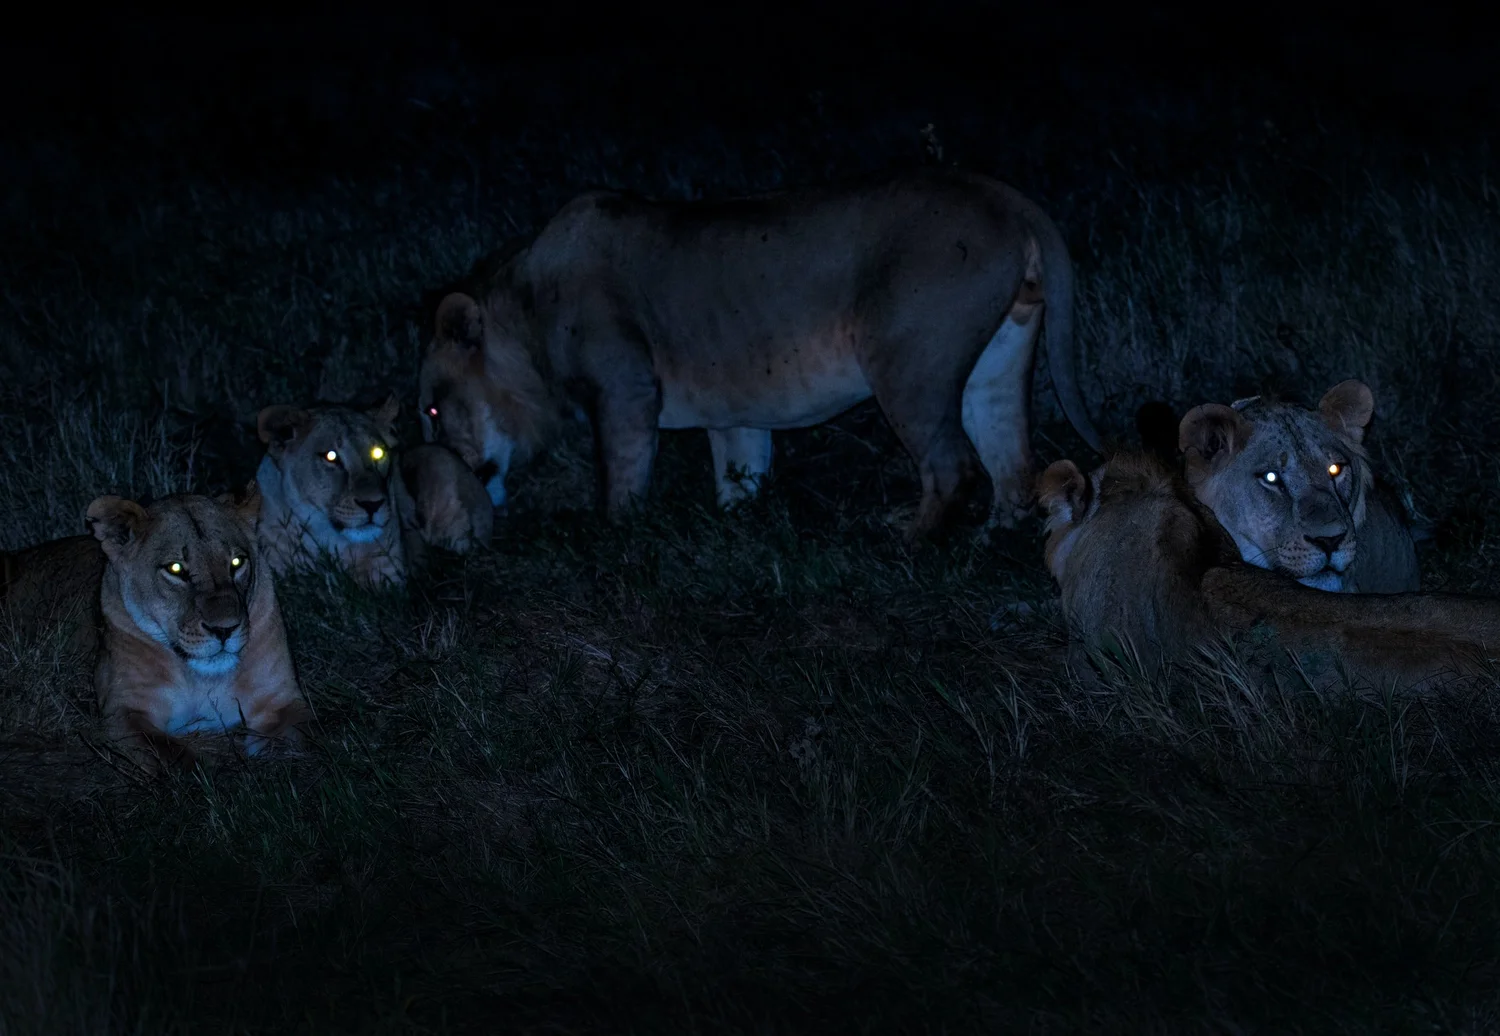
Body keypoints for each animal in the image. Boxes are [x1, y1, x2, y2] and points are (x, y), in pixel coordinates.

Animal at [85, 484, 309, 774]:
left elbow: (297, 743)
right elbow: (174, 757)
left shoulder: (281, 701)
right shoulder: (122, 713)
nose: (224, 630)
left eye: (237, 563)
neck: (203, 679)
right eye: (175, 568)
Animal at [417, 169, 1102, 538]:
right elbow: (738, 474)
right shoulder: (734, 415)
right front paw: (736, 525)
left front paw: (615, 536)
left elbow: (620, 478)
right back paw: (988, 541)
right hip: (999, 358)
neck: (526, 307)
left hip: (907, 361)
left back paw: (907, 542)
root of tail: (1008, 197)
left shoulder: (624, 390)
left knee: (952, 465)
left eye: (431, 411)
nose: (441, 472)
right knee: (1012, 465)